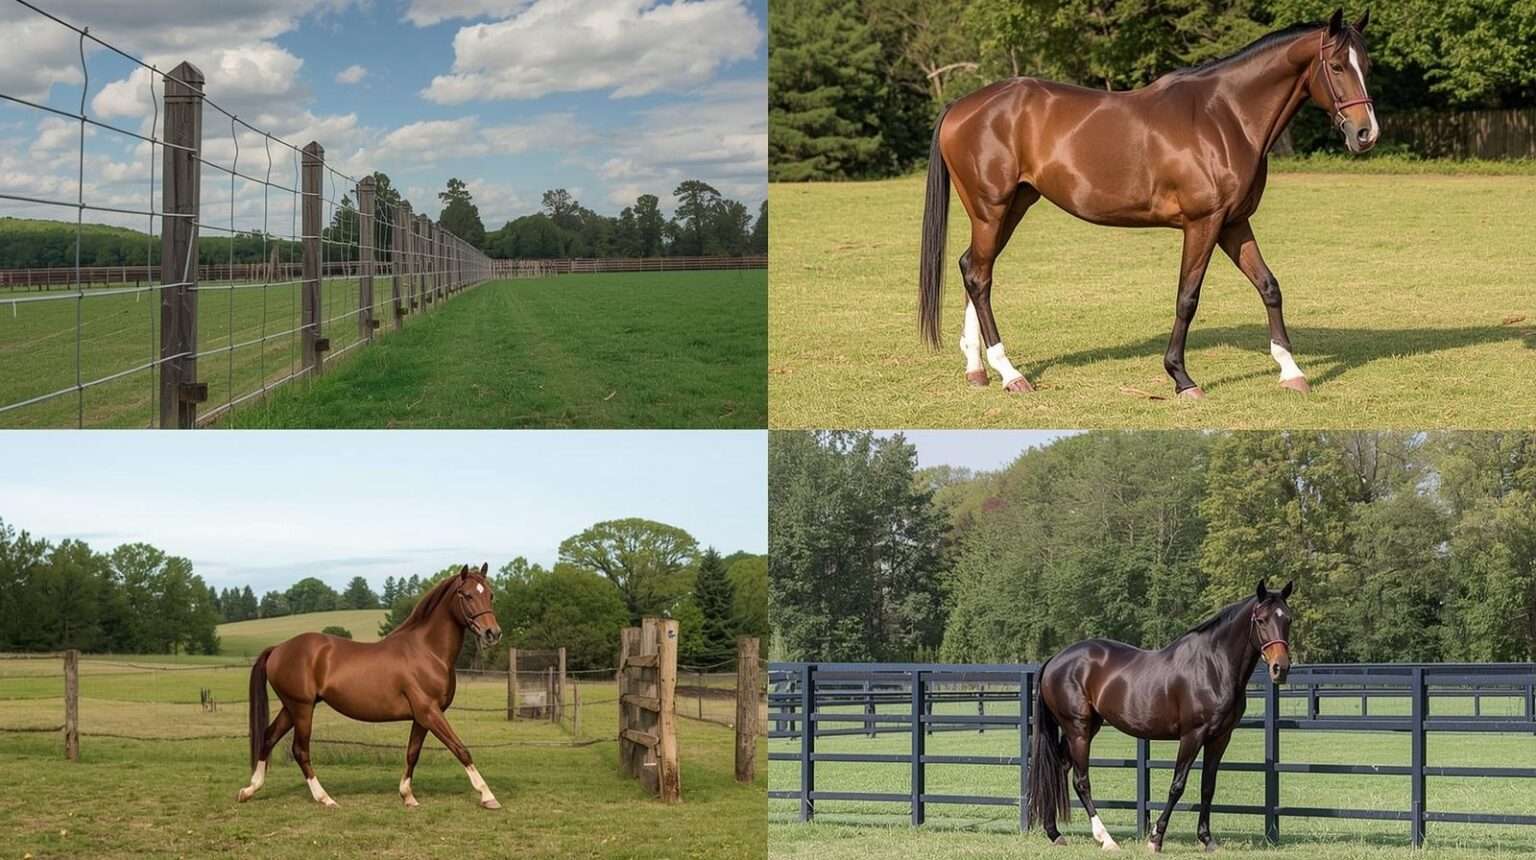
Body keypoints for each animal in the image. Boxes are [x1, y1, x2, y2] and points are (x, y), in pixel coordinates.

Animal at [236, 564, 504, 809]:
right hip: (301, 708)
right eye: (467, 595)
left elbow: (412, 753)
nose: (492, 633)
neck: (427, 651)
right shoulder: (429, 712)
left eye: (490, 594)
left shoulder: (421, 717)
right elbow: (461, 749)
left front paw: (407, 796)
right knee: (299, 749)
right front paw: (488, 796)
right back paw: (325, 798)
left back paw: (249, 790)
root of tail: (278, 649)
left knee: (269, 737)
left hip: (291, 707)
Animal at [919, 10, 1377, 398]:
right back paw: (1011, 374)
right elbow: (1187, 297)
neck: (1223, 117)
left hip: (1010, 207)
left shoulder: (1233, 223)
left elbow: (1269, 286)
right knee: (979, 276)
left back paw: (978, 370)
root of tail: (960, 106)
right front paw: (1181, 378)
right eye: (1337, 66)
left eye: (1366, 66)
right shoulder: (1203, 223)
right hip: (991, 210)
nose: (1366, 133)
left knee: (973, 268)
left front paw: (1291, 372)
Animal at [1027, 580, 1295, 853]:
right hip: (1077, 730)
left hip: (1085, 728)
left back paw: (1054, 833)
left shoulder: (1219, 738)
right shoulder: (1192, 735)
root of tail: (1055, 660)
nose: (1280, 668)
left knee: (1057, 769)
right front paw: (1155, 839)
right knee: (1080, 781)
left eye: (1288, 619)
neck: (1213, 666)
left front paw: (1207, 839)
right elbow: (1177, 786)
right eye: (1261, 620)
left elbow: (1207, 788)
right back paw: (1106, 839)